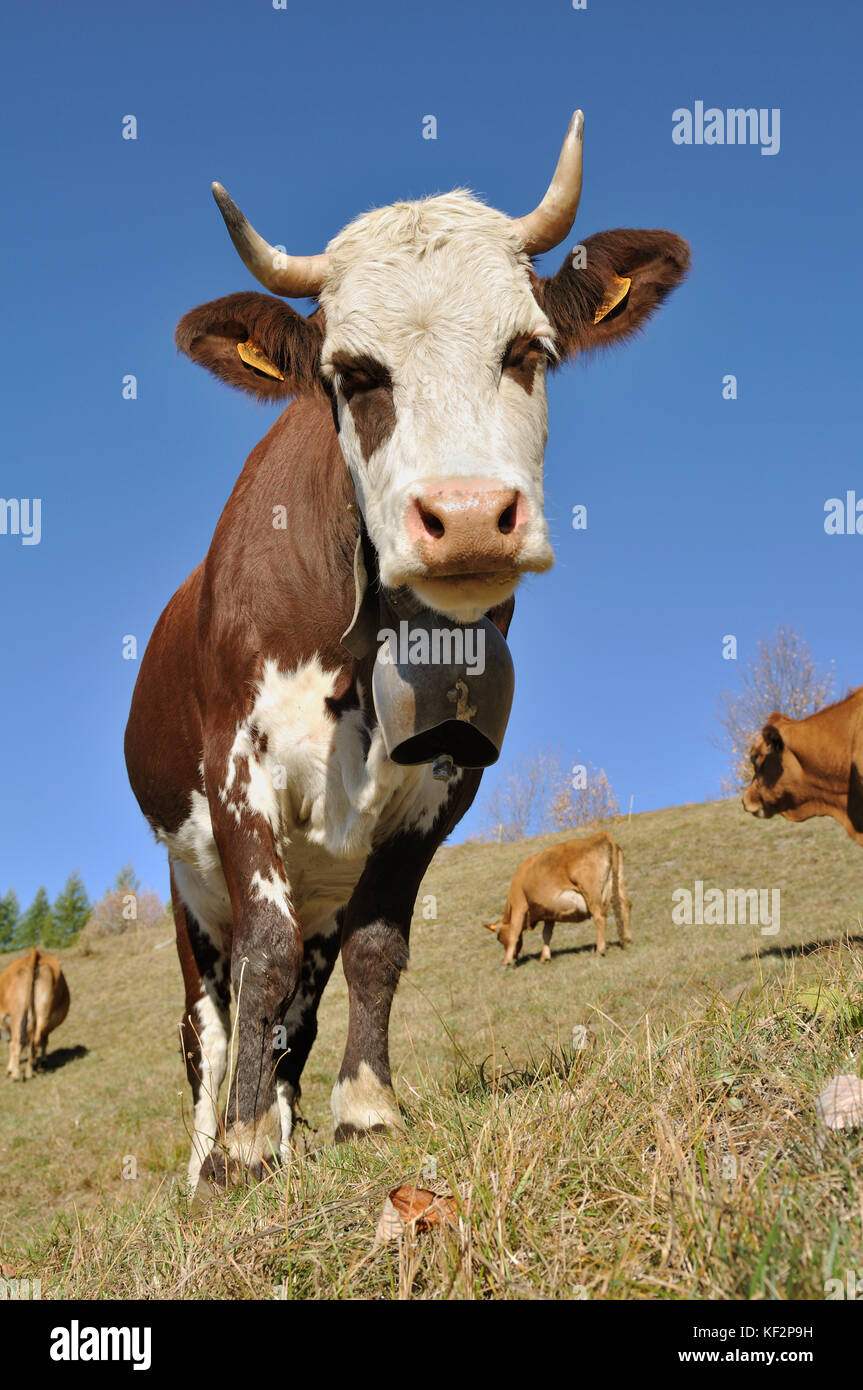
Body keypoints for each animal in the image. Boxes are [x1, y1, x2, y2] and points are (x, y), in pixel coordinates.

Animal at [0, 948, 70, 1081]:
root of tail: (35, 954)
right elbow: (43, 1040)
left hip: (18, 1014)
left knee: (16, 1042)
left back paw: (16, 1075)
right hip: (43, 1013)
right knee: (35, 1042)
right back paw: (29, 1072)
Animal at [485, 832, 632, 966]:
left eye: (499, 937)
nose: (515, 956)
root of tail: (601, 835)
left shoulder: (519, 905)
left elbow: (514, 933)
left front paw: (506, 961)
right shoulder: (550, 913)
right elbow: (546, 934)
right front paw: (545, 957)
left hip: (591, 891)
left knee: (599, 916)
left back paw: (600, 950)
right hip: (617, 883)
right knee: (625, 905)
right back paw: (627, 940)